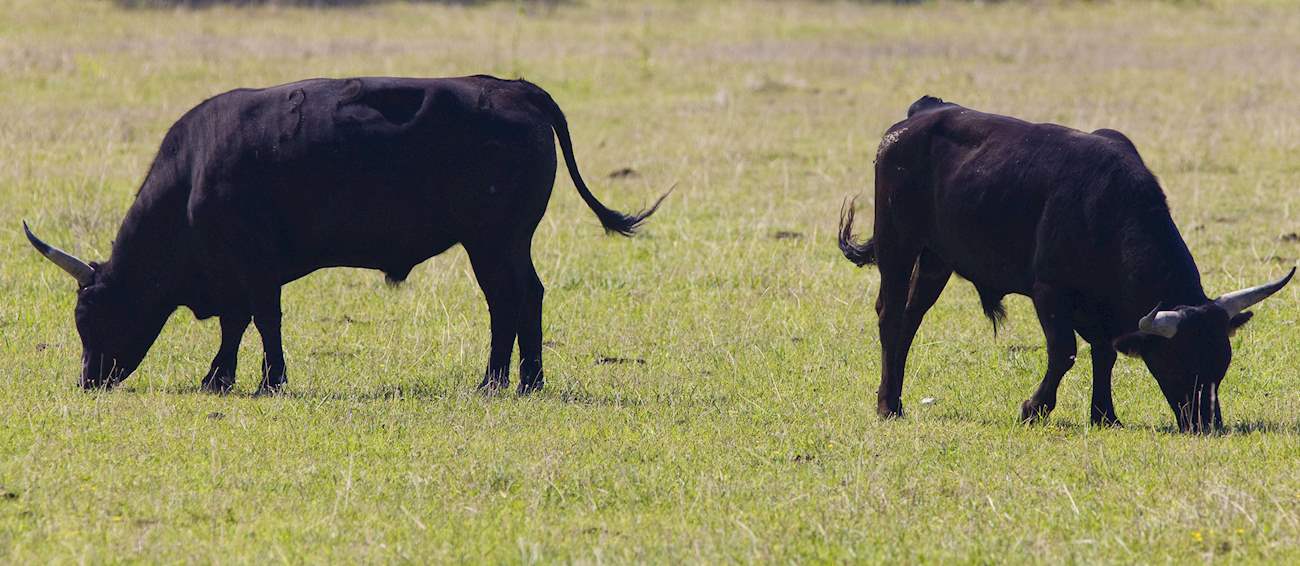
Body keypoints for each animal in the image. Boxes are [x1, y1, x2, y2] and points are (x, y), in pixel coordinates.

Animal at [25, 75, 668, 395]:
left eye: (92, 316)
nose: (87, 380)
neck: (192, 176)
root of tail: (514, 87)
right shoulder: (238, 275)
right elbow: (238, 325)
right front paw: (221, 379)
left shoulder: (253, 268)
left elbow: (260, 321)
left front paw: (265, 382)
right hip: (495, 243)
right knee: (510, 301)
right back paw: (503, 381)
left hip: (496, 241)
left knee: (518, 298)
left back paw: (518, 383)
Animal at [838, 95, 1293, 433]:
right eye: (1180, 360)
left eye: (1221, 363)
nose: (1207, 424)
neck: (1108, 209)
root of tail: (922, 113)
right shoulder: (1050, 292)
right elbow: (1065, 352)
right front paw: (1033, 408)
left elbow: (1104, 354)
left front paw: (1105, 415)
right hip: (898, 245)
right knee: (891, 316)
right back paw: (888, 406)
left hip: (935, 261)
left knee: (910, 320)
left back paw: (895, 397)